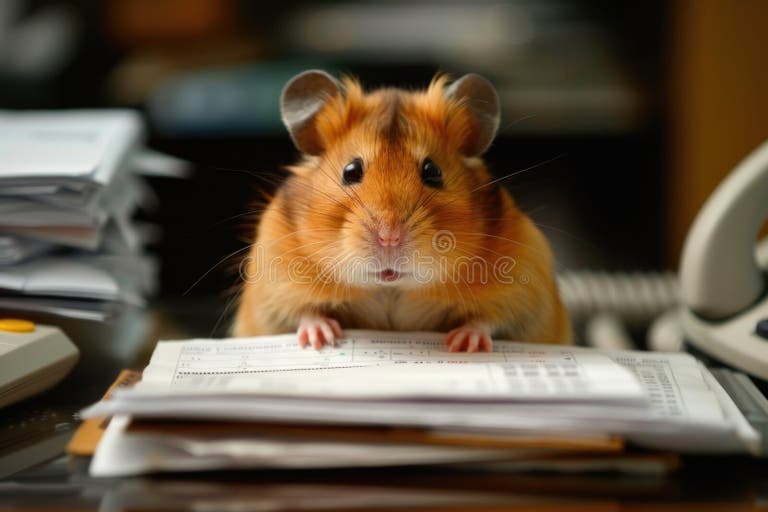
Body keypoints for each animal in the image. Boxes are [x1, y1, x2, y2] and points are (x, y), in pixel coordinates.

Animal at [233, 70, 572, 351]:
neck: (391, 288)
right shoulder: (270, 290)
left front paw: (463, 344)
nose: (389, 237)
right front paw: (322, 339)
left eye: (433, 172)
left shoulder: (527, 293)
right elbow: (301, 312)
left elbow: (490, 319)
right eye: (350, 171)